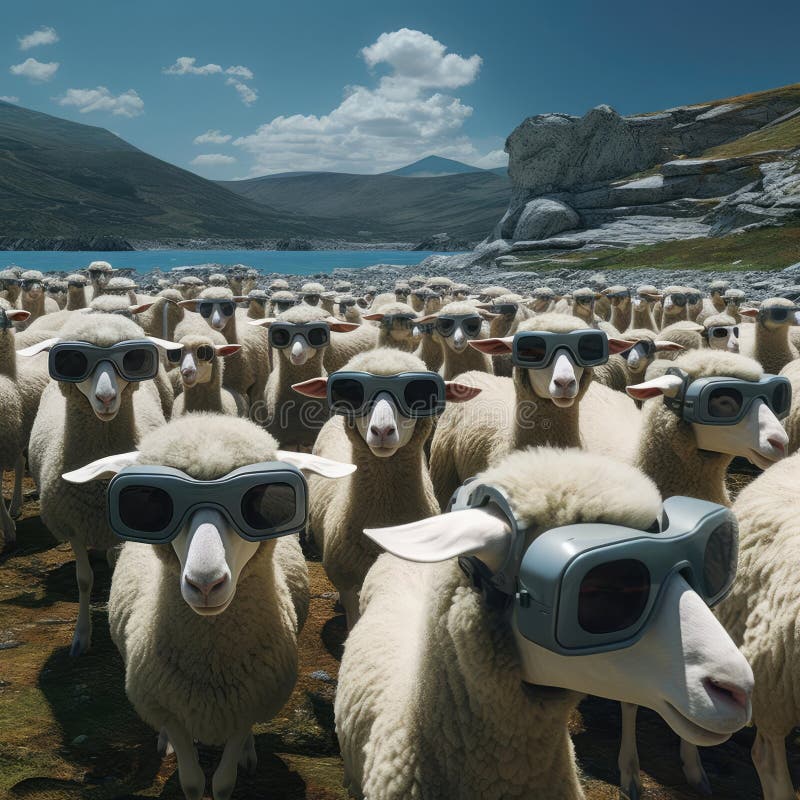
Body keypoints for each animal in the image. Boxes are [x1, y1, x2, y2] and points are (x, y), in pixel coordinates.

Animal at [21, 312, 178, 654]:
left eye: (133, 359)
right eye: (72, 360)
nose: (105, 398)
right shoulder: (72, 526)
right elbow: (84, 580)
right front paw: (82, 636)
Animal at [63, 414, 354, 800]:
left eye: (258, 500)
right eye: (152, 503)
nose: (204, 584)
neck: (212, 668)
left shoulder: (245, 703)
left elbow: (223, 780)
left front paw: (240, 758)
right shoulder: (171, 707)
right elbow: (191, 781)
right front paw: (174, 750)